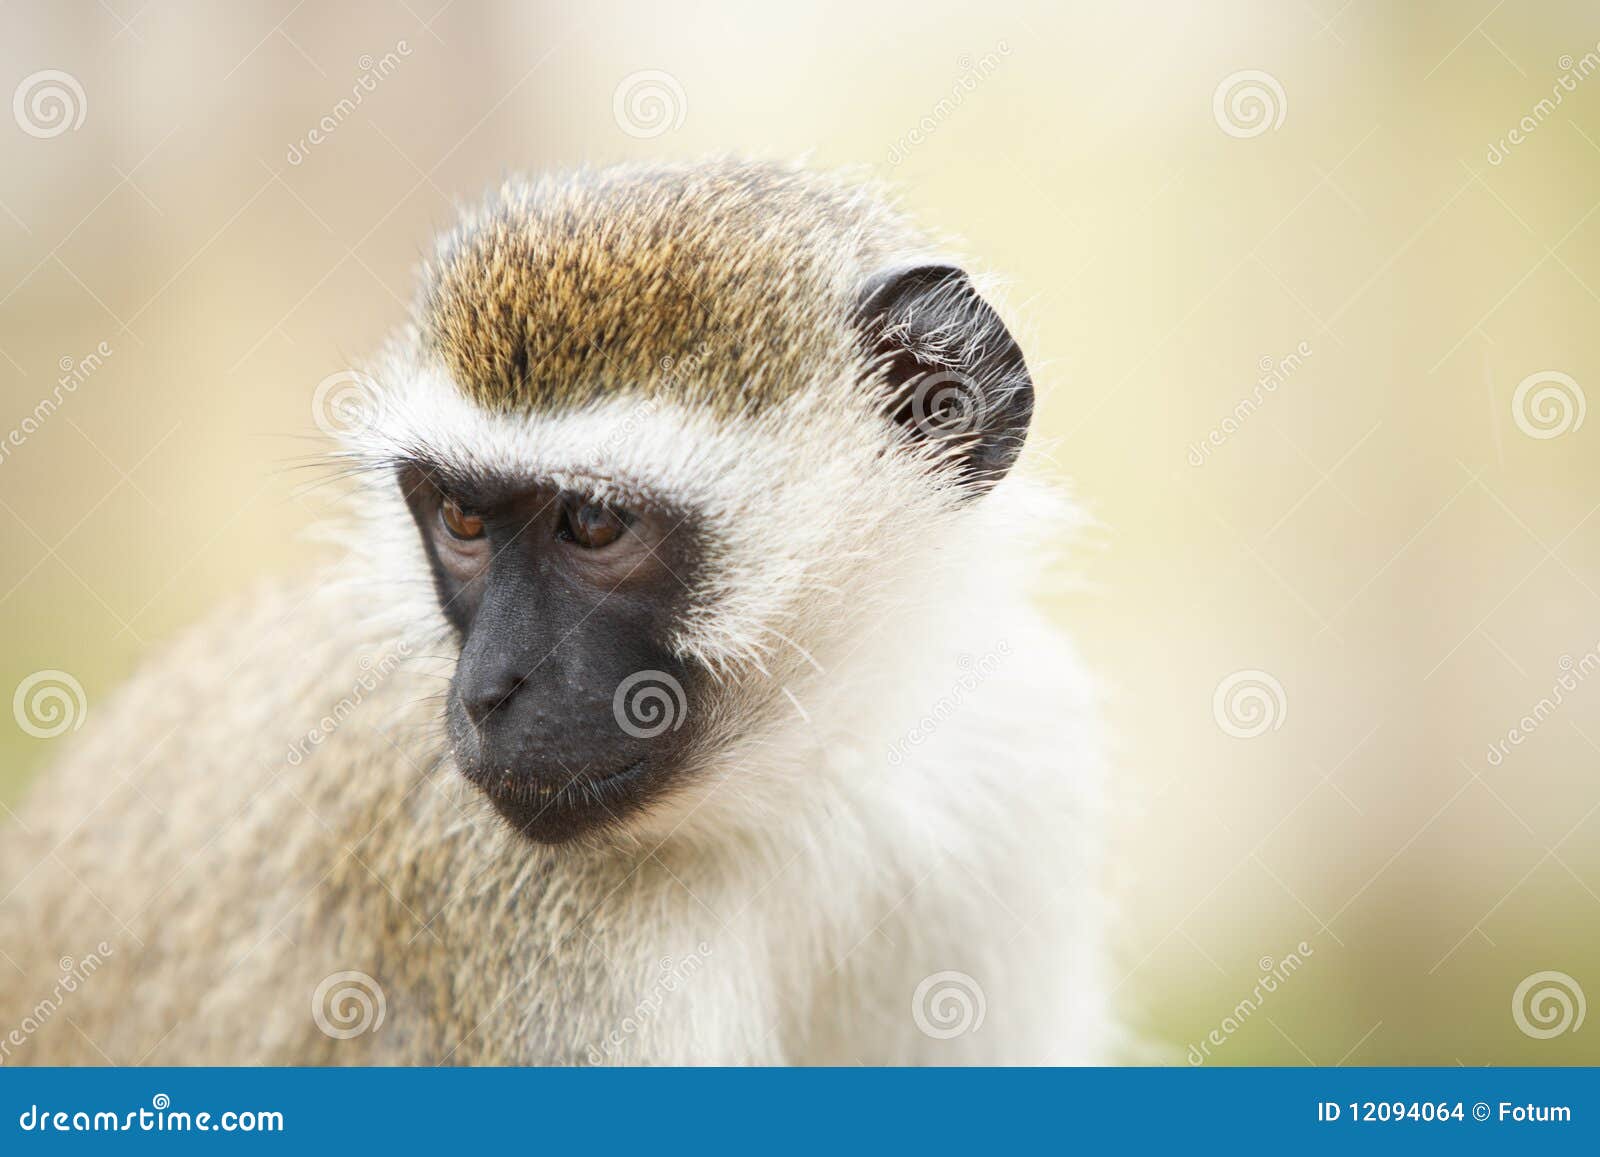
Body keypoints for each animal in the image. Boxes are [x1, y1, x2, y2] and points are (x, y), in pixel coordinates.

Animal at [0, 159, 1113, 1065]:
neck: (804, 782)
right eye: (461, 516)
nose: (488, 691)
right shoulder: (520, 927)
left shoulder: (1023, 766)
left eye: (593, 521)